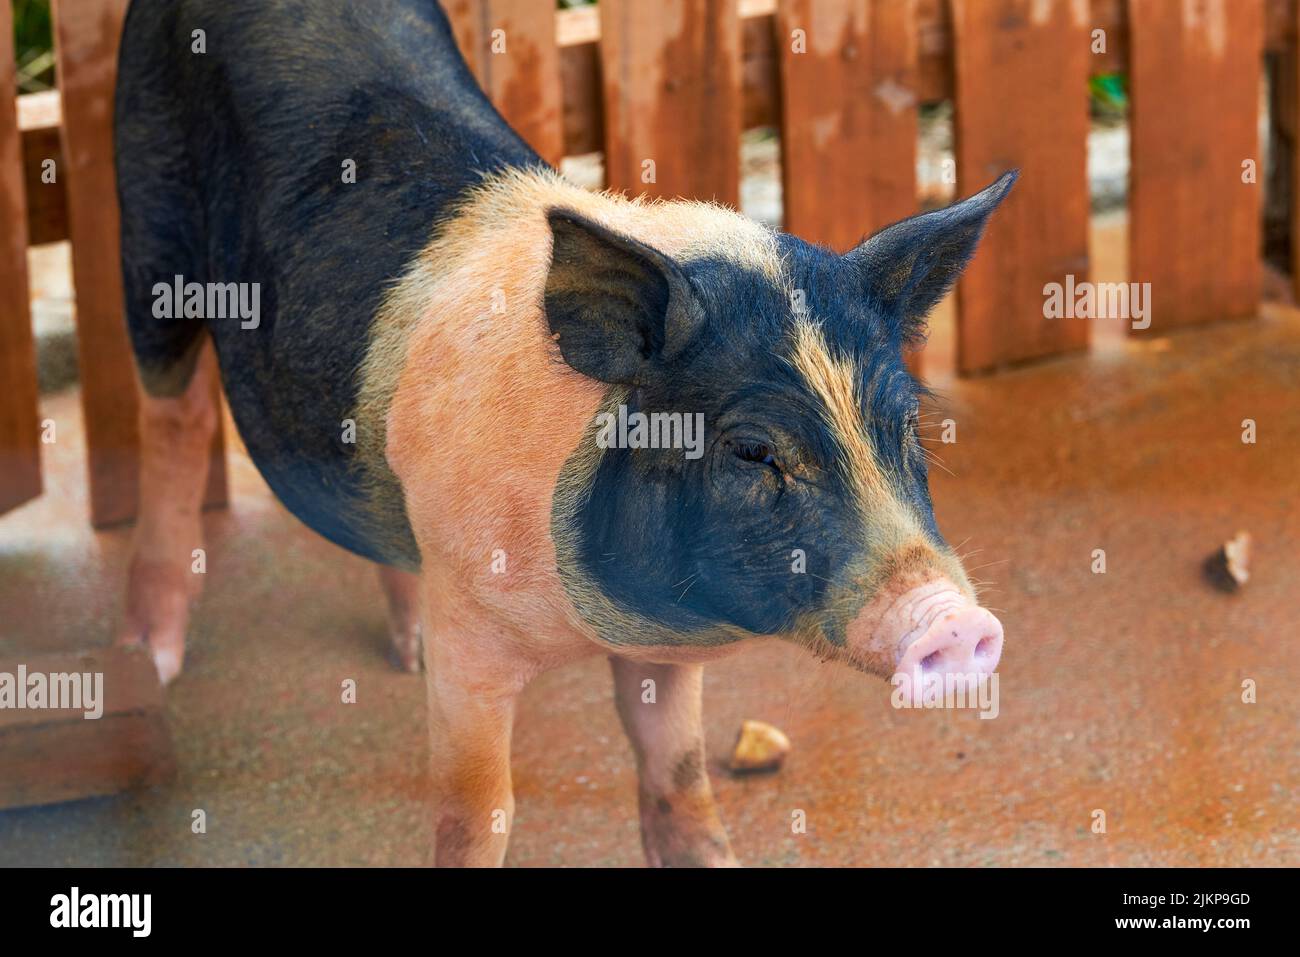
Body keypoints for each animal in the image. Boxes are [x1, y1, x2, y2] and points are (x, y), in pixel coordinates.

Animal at [114, 0, 1010, 867]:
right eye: (753, 450)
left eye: (904, 424)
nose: (956, 621)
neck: (586, 624)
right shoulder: (469, 622)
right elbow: (478, 814)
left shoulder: (663, 655)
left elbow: (682, 790)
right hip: (149, 234)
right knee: (174, 419)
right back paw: (150, 658)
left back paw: (404, 652)